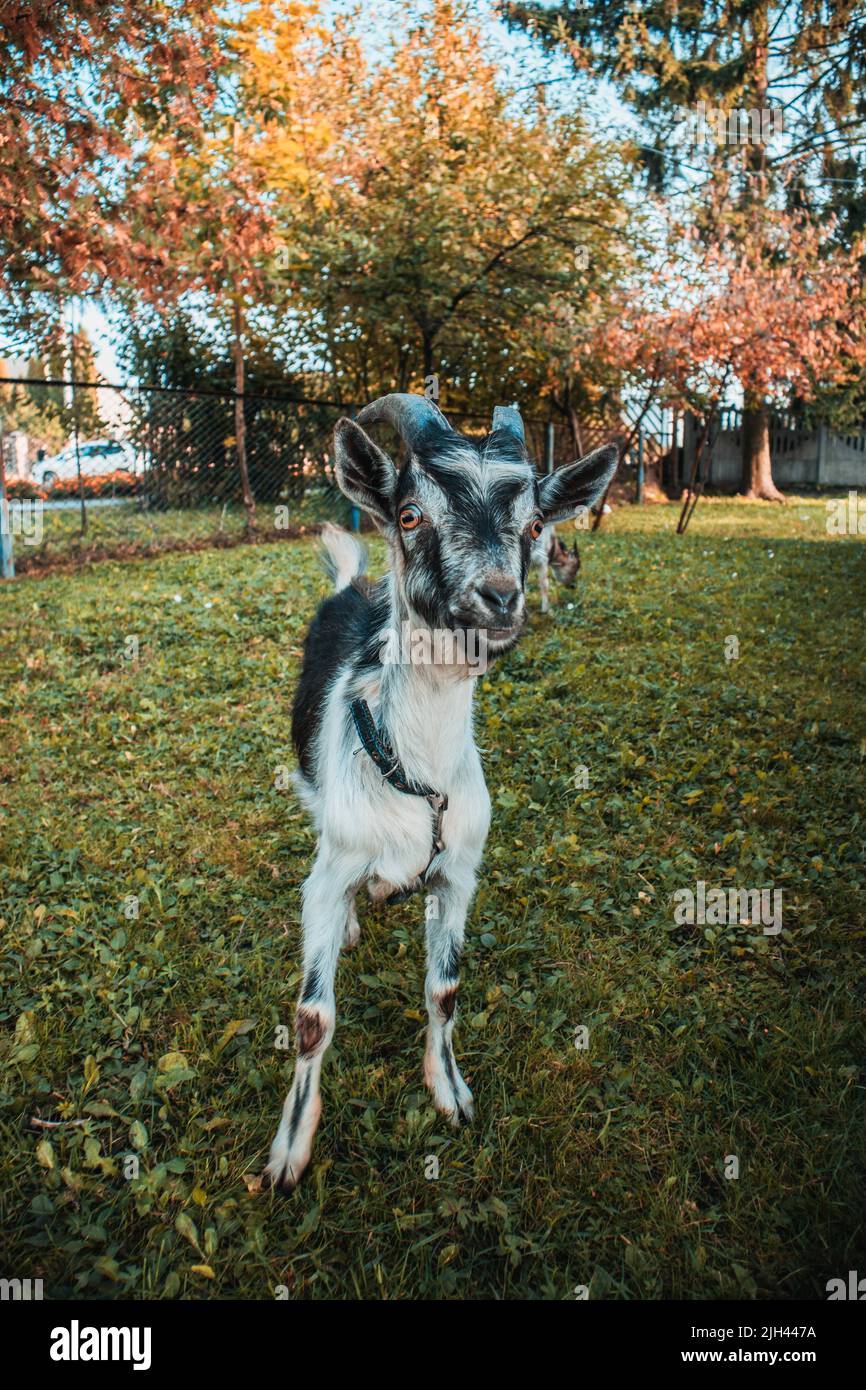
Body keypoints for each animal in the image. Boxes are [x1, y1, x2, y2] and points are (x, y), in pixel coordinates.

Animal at [264, 394, 617, 1190]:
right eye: (410, 513)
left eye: (535, 525)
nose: (500, 597)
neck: (416, 773)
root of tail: (349, 588)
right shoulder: (333, 866)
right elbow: (313, 1015)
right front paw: (290, 1148)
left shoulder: (456, 875)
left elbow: (445, 989)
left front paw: (448, 1090)